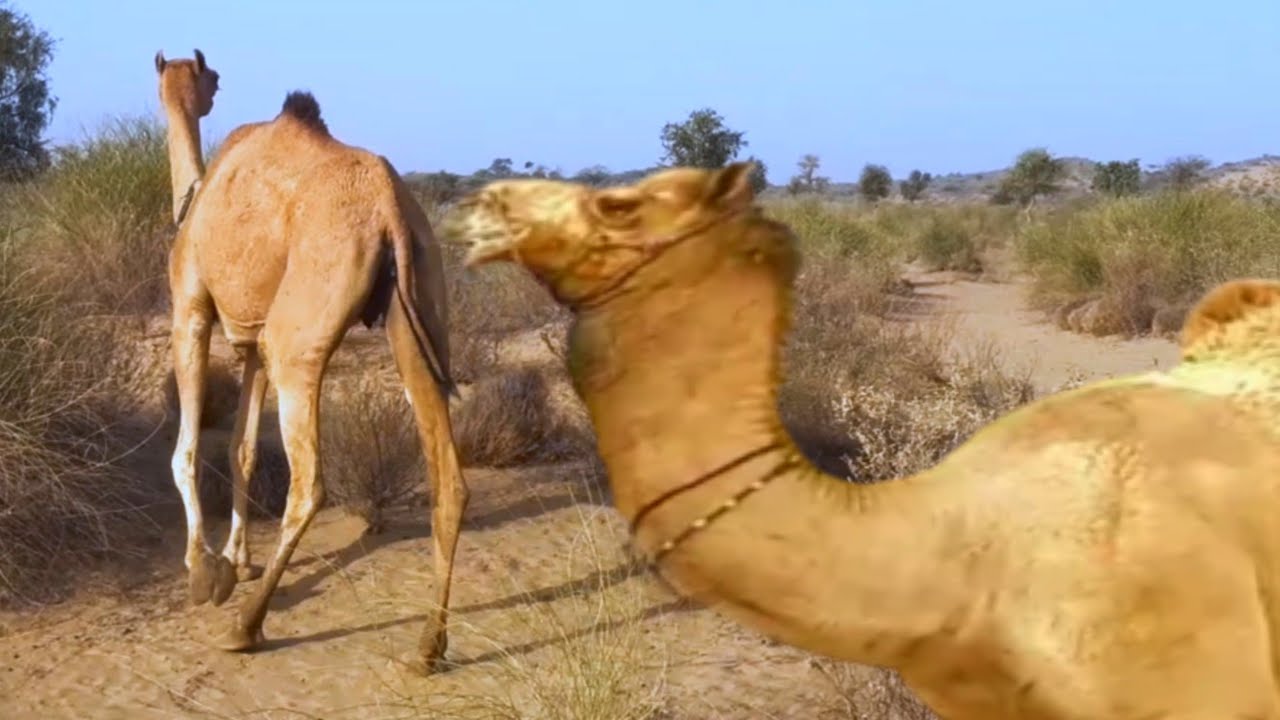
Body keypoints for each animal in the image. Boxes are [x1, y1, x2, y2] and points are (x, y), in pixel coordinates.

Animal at [154, 49, 467, 672]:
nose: (215, 81)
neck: (195, 196)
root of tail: (389, 207)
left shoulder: (191, 309)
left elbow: (188, 450)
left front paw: (205, 572)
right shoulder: (250, 342)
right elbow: (243, 449)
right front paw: (238, 560)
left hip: (298, 338)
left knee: (309, 484)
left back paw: (246, 627)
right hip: (418, 311)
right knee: (448, 475)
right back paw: (428, 645)